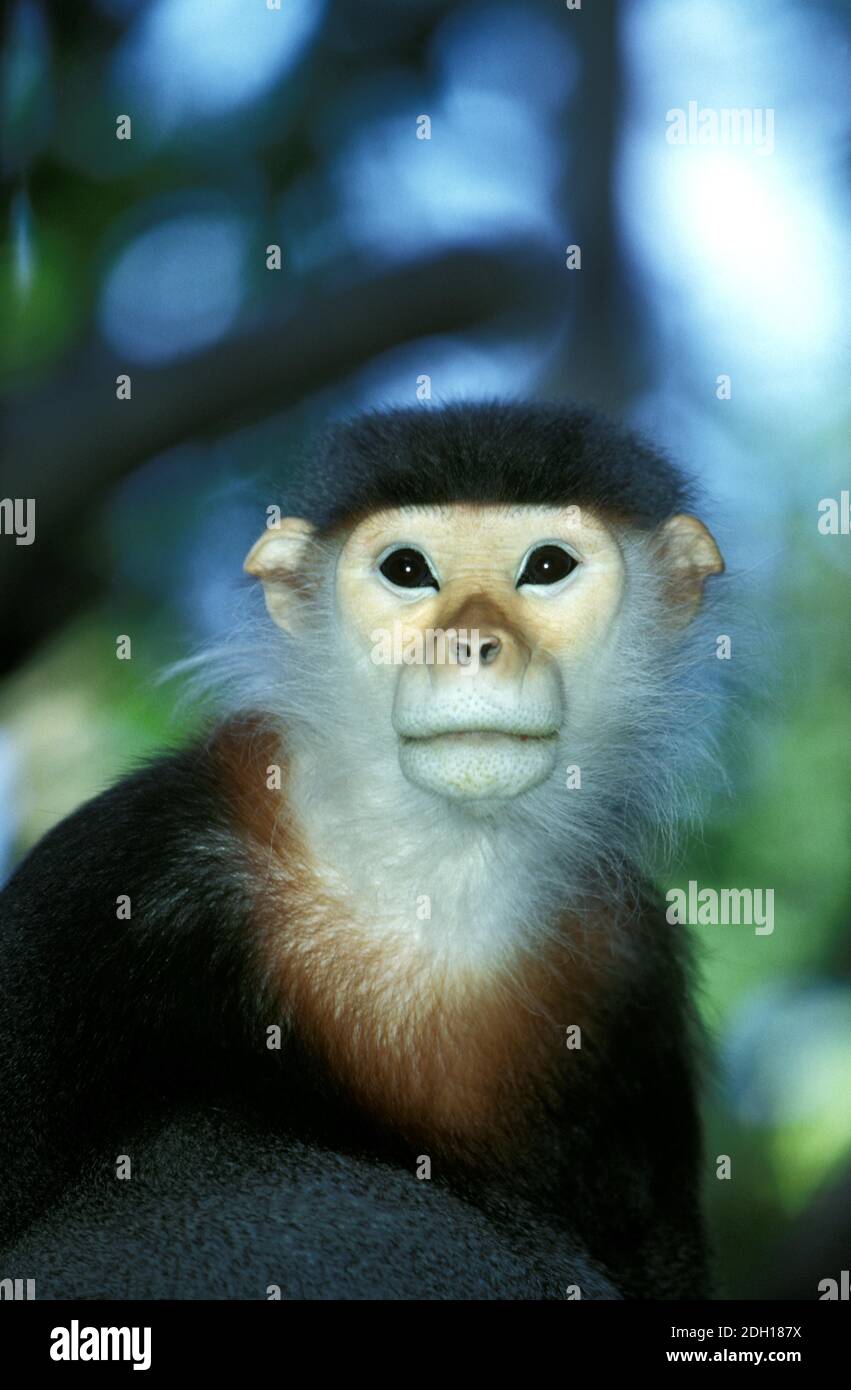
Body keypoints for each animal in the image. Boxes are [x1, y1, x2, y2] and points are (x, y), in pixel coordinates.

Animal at [0, 401, 726, 1300]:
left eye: (547, 567)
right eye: (406, 570)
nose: (471, 644)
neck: (431, 875)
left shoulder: (628, 964)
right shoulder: (130, 863)